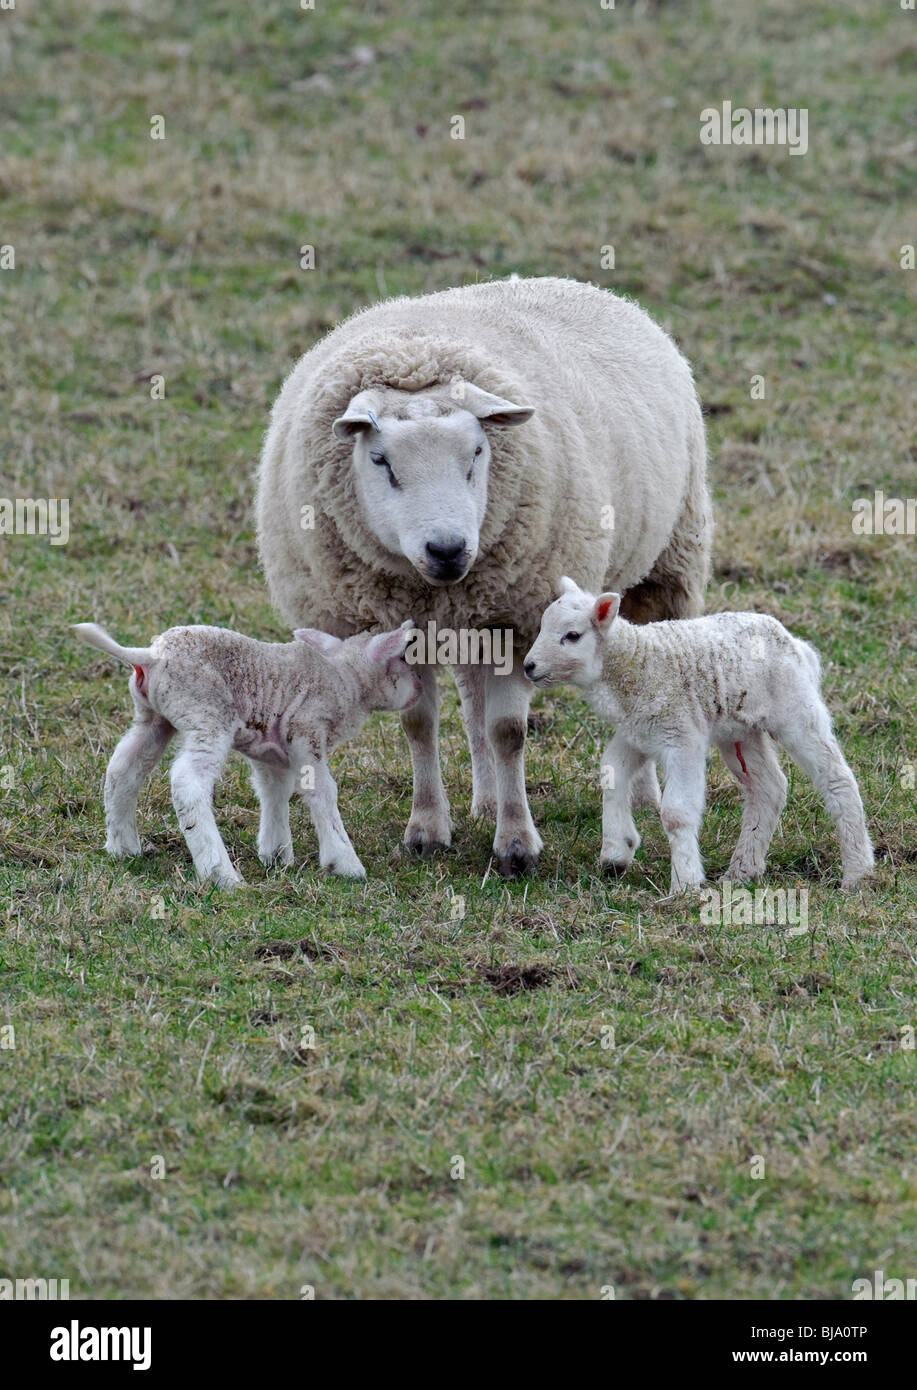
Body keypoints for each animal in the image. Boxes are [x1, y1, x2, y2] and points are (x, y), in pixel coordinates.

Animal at [73, 619, 421, 889]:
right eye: (404, 659)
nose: (418, 689)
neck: (344, 676)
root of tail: (152, 656)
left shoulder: (271, 750)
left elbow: (274, 791)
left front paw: (277, 855)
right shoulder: (307, 729)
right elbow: (322, 791)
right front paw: (345, 863)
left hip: (153, 717)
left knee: (123, 768)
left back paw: (123, 847)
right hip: (207, 713)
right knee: (188, 782)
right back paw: (220, 874)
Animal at [256, 275, 712, 876]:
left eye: (477, 451)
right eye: (380, 460)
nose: (448, 549)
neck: (434, 590)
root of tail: (578, 284)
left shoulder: (519, 625)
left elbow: (508, 733)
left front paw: (517, 844)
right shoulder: (413, 630)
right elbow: (421, 726)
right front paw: (427, 830)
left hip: (668, 564)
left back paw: (641, 796)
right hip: (478, 622)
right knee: (473, 701)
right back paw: (486, 799)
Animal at [523, 577, 875, 895]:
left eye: (572, 635)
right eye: (542, 627)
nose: (529, 666)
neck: (634, 664)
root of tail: (798, 645)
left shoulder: (681, 736)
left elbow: (676, 814)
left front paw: (685, 885)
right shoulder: (637, 733)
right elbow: (610, 776)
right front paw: (616, 854)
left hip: (796, 709)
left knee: (837, 777)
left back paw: (858, 872)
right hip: (740, 731)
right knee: (768, 788)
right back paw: (742, 871)